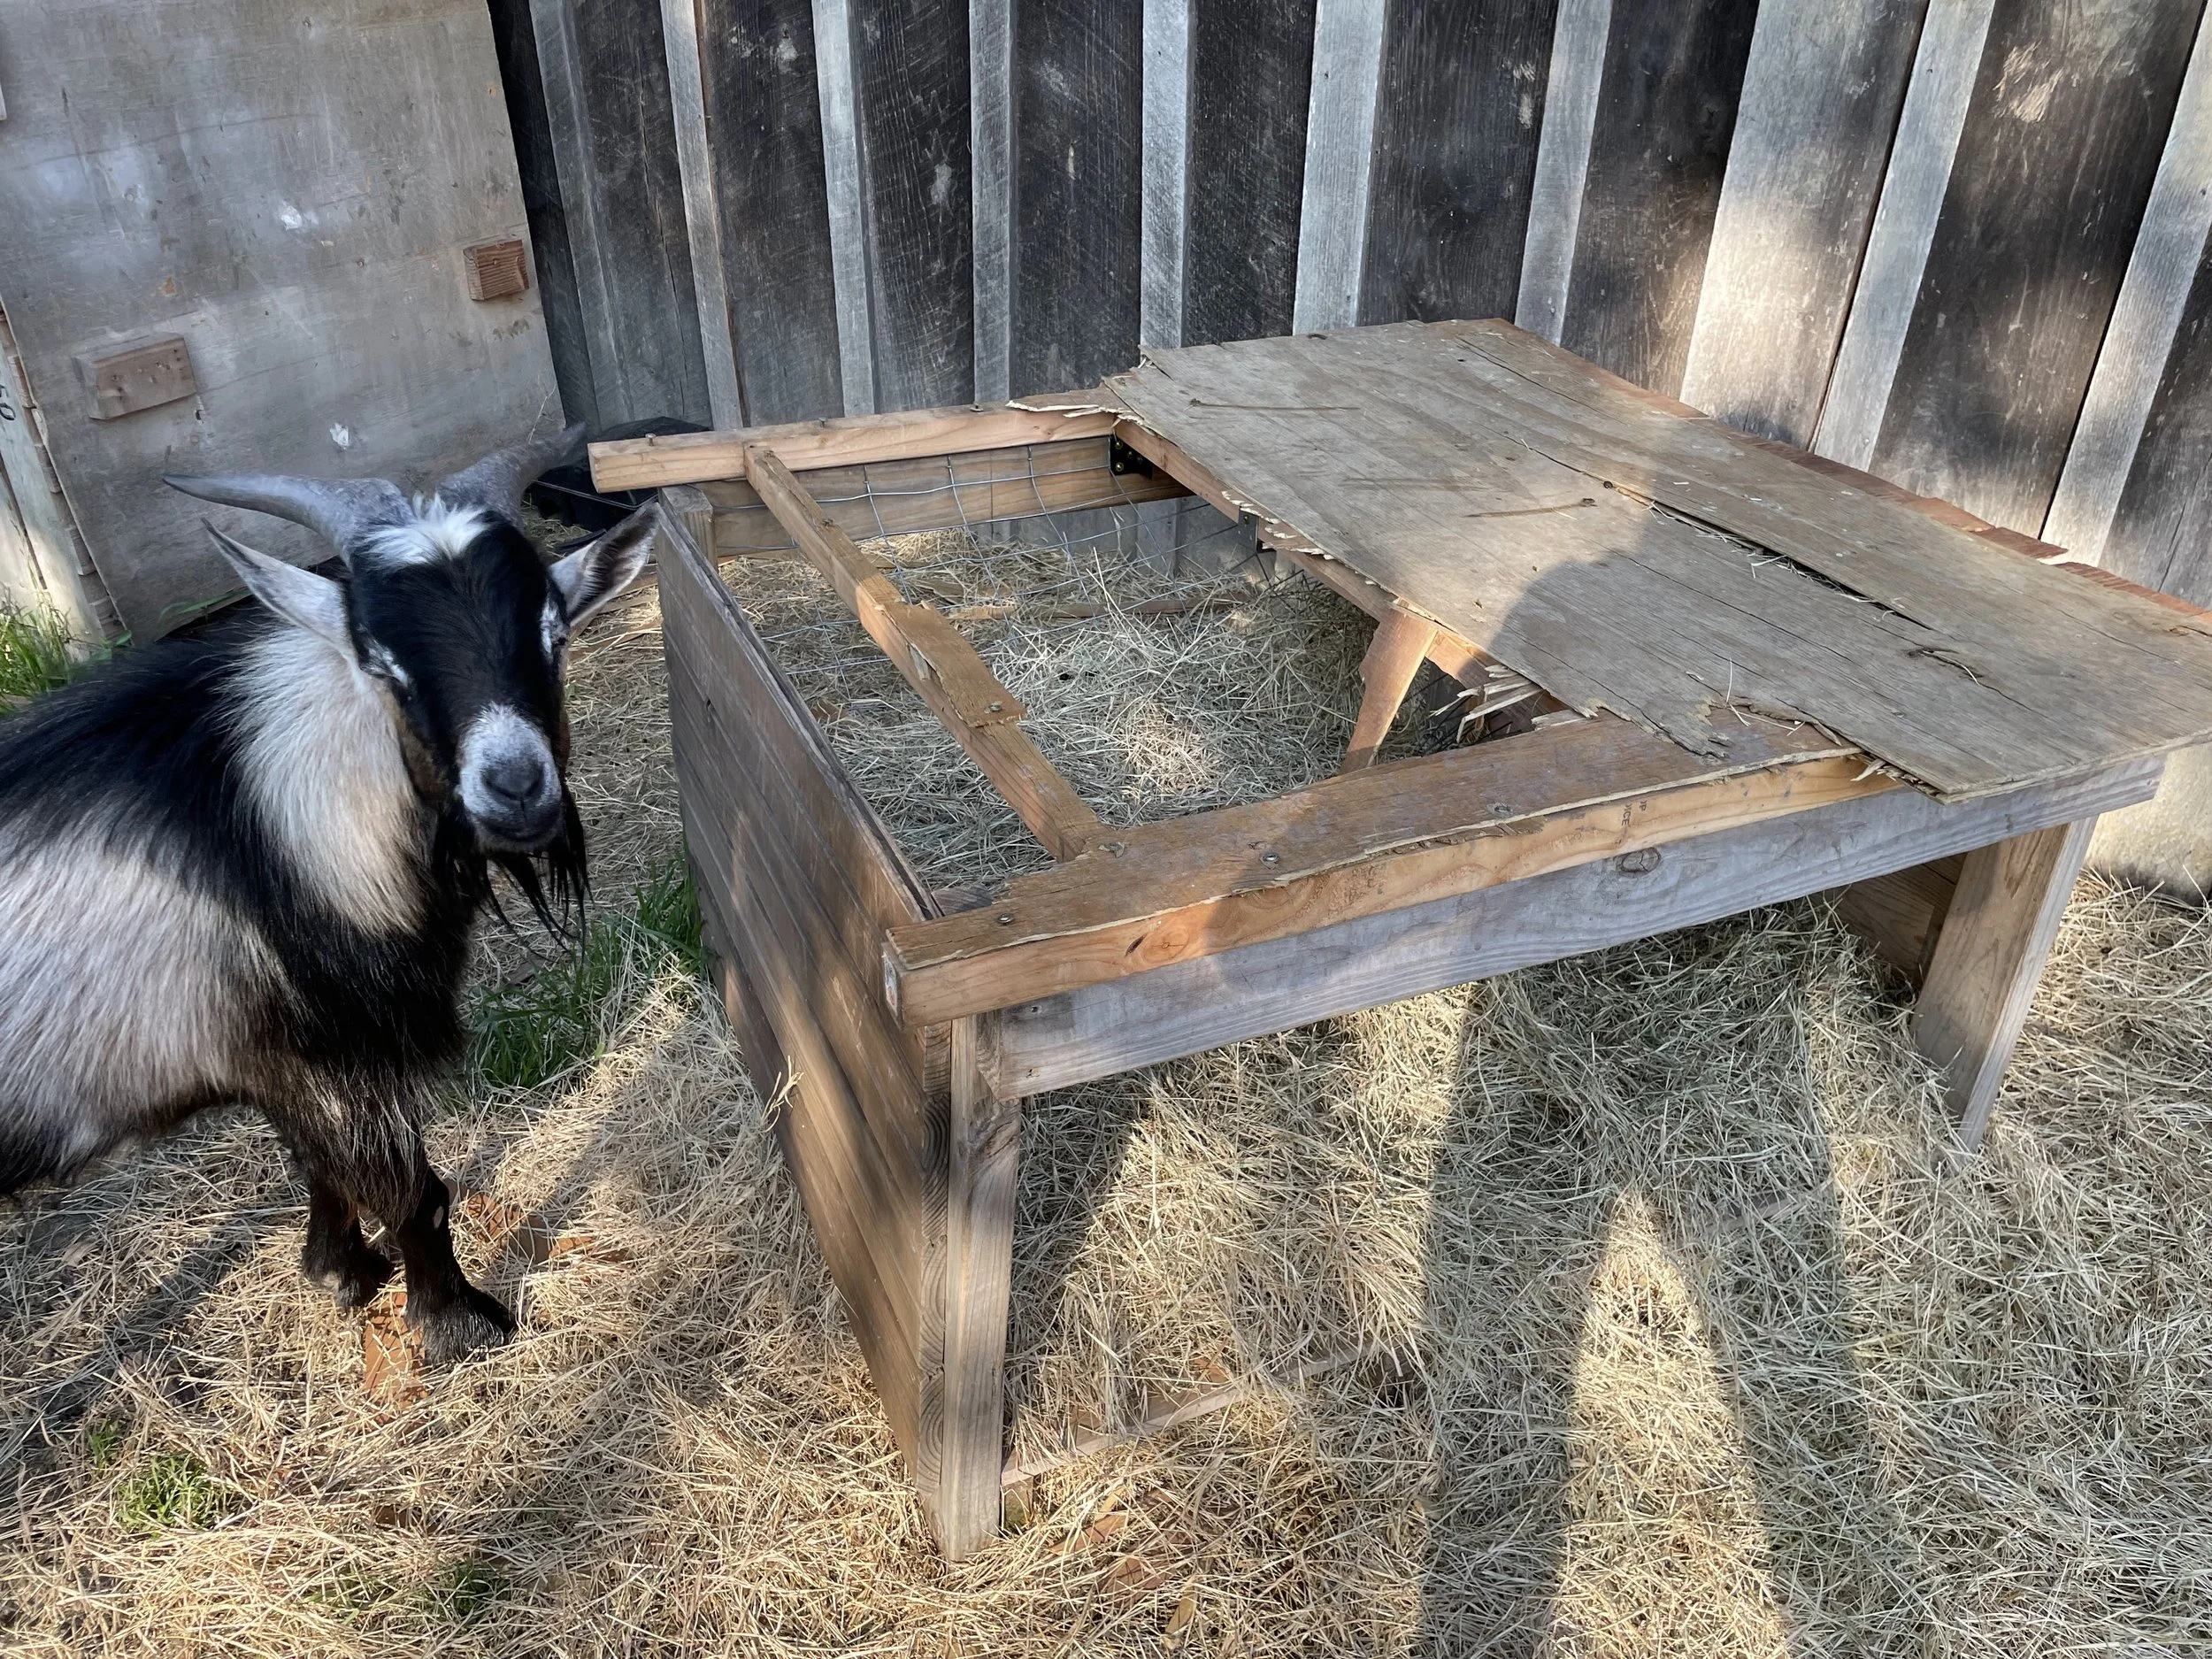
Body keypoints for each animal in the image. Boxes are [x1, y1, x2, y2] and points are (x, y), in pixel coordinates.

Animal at [0, 430, 654, 1362]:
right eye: (383, 661)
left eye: (553, 632)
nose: (518, 789)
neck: (262, 818)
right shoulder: (332, 1052)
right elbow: (411, 1188)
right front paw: (457, 1324)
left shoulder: (282, 1057)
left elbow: (321, 1165)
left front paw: (339, 1270)